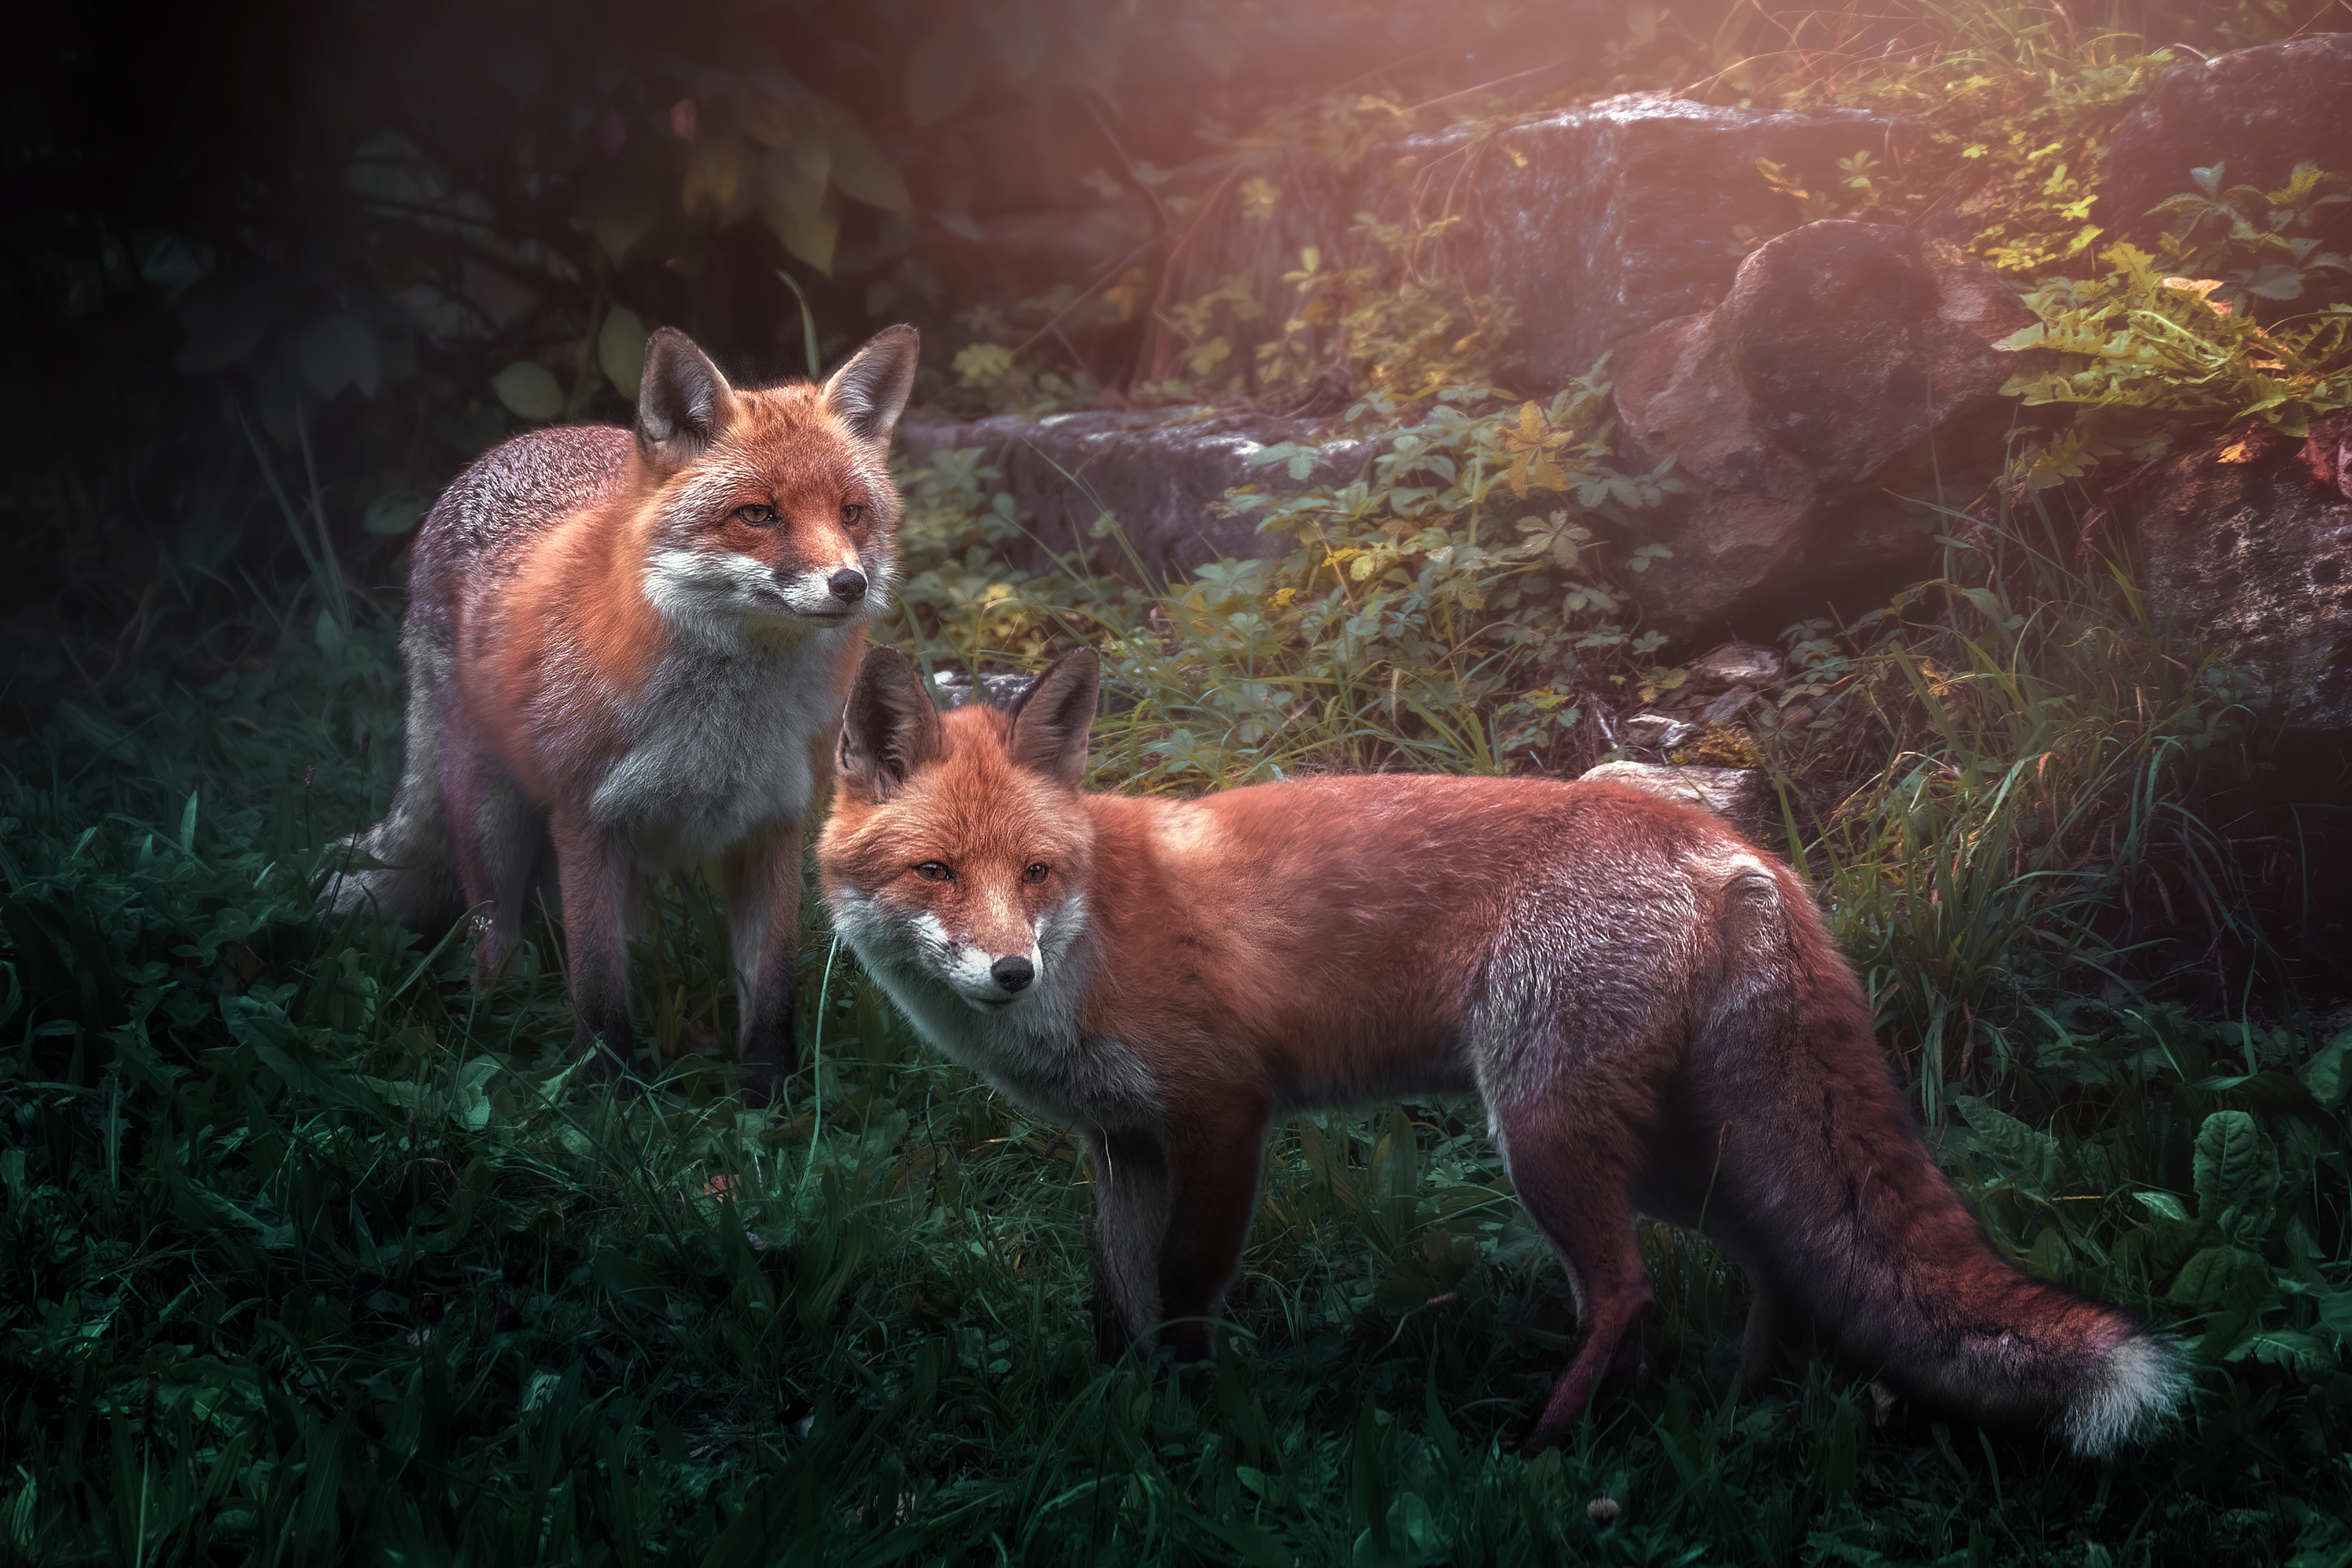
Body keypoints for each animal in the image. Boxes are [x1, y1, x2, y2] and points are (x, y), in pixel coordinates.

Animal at [329, 323, 919, 1091]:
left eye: (851, 513)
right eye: (759, 515)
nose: (849, 584)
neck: (721, 733)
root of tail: (512, 446)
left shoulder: (775, 825)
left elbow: (771, 989)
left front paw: (771, 1093)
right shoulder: (586, 821)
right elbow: (600, 987)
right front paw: (603, 1091)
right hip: (494, 821)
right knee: (495, 942)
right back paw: (496, 1025)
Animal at [815, 643, 2188, 1457]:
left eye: (1036, 875)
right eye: (937, 872)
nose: (1008, 971)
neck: (1096, 935)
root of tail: (1734, 846)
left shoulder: (1220, 1113)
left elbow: (1190, 1291)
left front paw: (1190, 1425)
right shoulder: (1123, 1143)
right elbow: (1119, 1303)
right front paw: (1127, 1419)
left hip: (1543, 1128)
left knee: (1629, 1288)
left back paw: (1543, 1447)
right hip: (1668, 1143)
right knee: (1776, 1258)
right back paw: (1741, 1415)